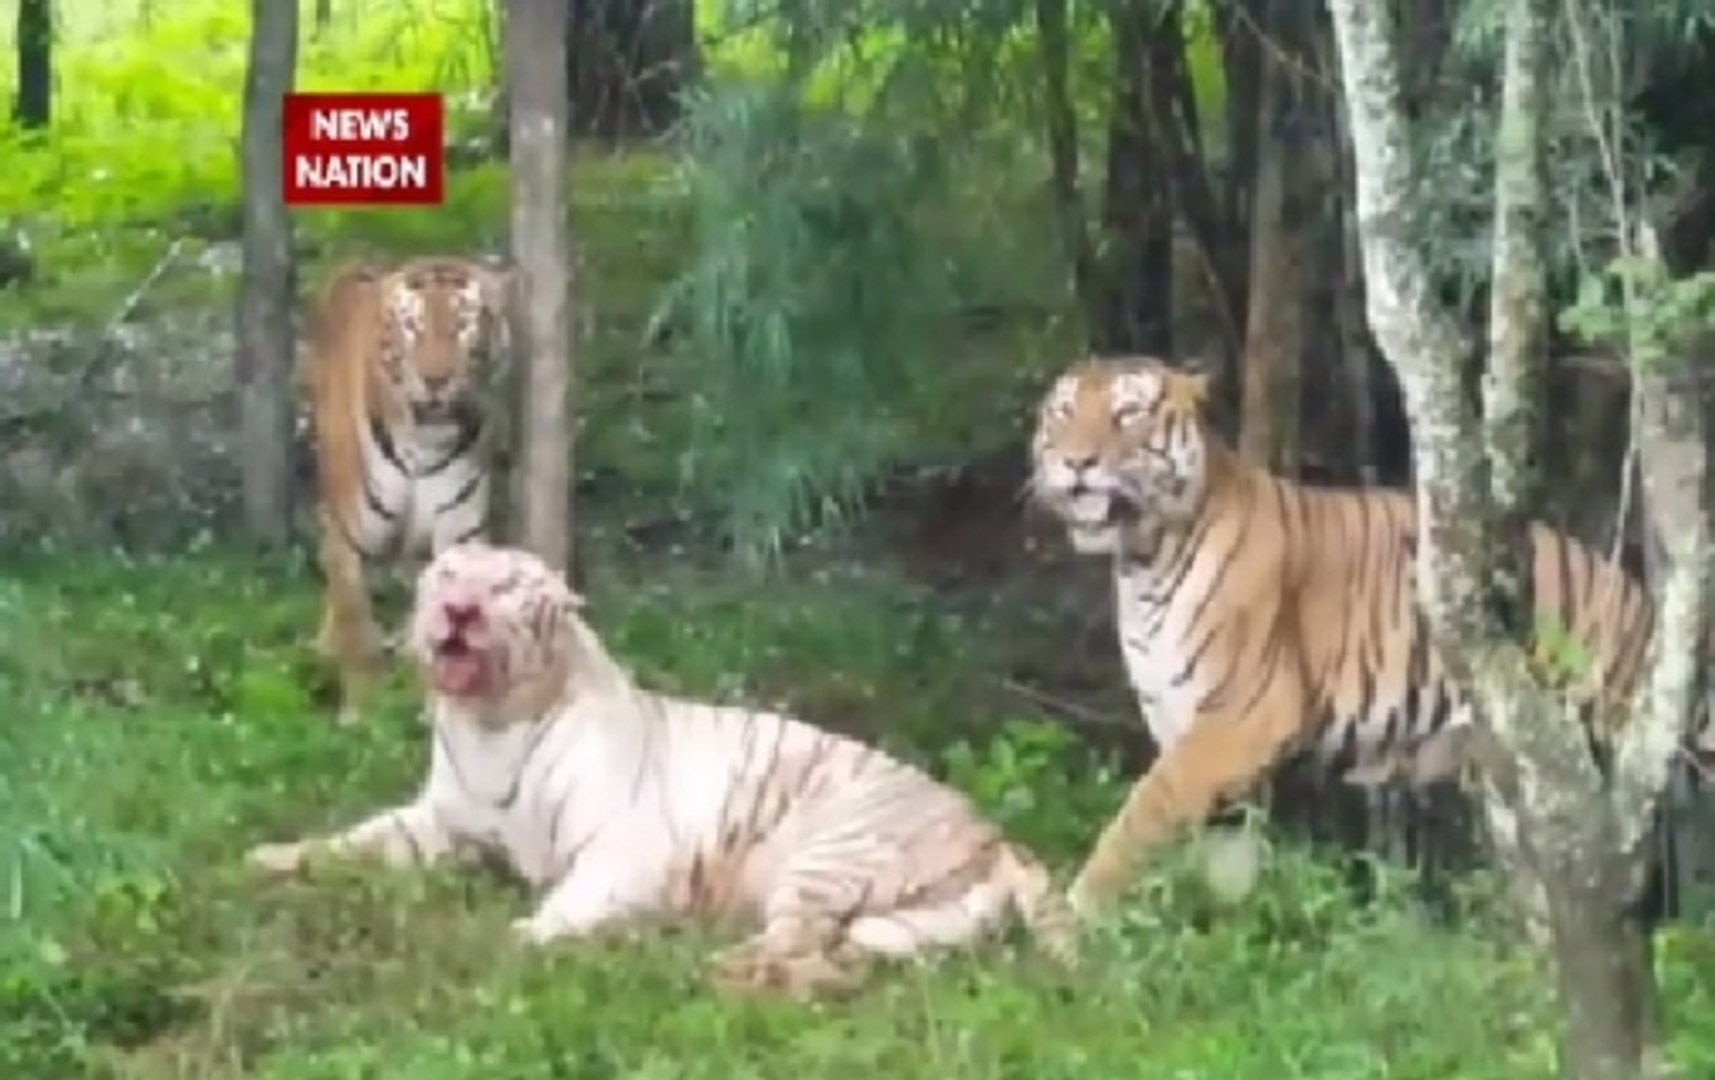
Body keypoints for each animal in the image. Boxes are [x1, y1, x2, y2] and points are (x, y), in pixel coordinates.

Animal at [246, 540, 1077, 998]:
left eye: (505, 587)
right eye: (449, 574)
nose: (460, 610)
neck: (491, 725)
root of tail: (996, 835)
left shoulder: (623, 853)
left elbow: (563, 909)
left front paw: (516, 939)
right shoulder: (439, 821)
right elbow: (353, 839)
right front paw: (271, 857)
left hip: (828, 854)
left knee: (789, 939)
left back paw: (692, 957)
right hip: (898, 927)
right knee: (826, 958)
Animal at [305, 255, 513, 725]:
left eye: (463, 324)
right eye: (412, 327)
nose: (435, 380)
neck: (424, 442)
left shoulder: (460, 535)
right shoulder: (349, 537)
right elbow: (356, 625)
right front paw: (361, 712)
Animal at [1028, 354, 1708, 919]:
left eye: (1129, 413)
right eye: (1062, 412)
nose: (1076, 463)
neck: (1141, 561)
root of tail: (1635, 595)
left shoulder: (1243, 717)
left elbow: (1140, 813)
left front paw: (1081, 913)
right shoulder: (1186, 727)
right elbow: (1221, 855)